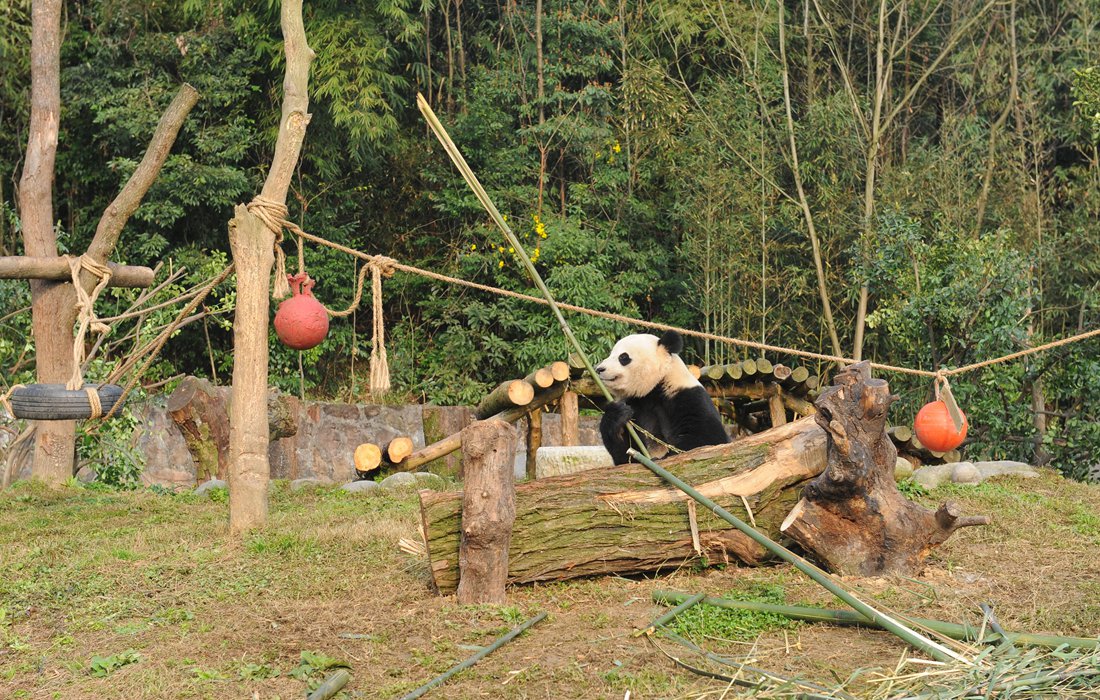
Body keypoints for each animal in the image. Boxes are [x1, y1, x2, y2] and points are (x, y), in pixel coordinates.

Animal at [595, 330, 731, 465]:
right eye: (611, 354)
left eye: (623, 357)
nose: (599, 369)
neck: (653, 388)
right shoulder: (635, 403)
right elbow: (626, 456)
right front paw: (617, 414)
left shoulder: (687, 396)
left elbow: (707, 438)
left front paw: (662, 458)